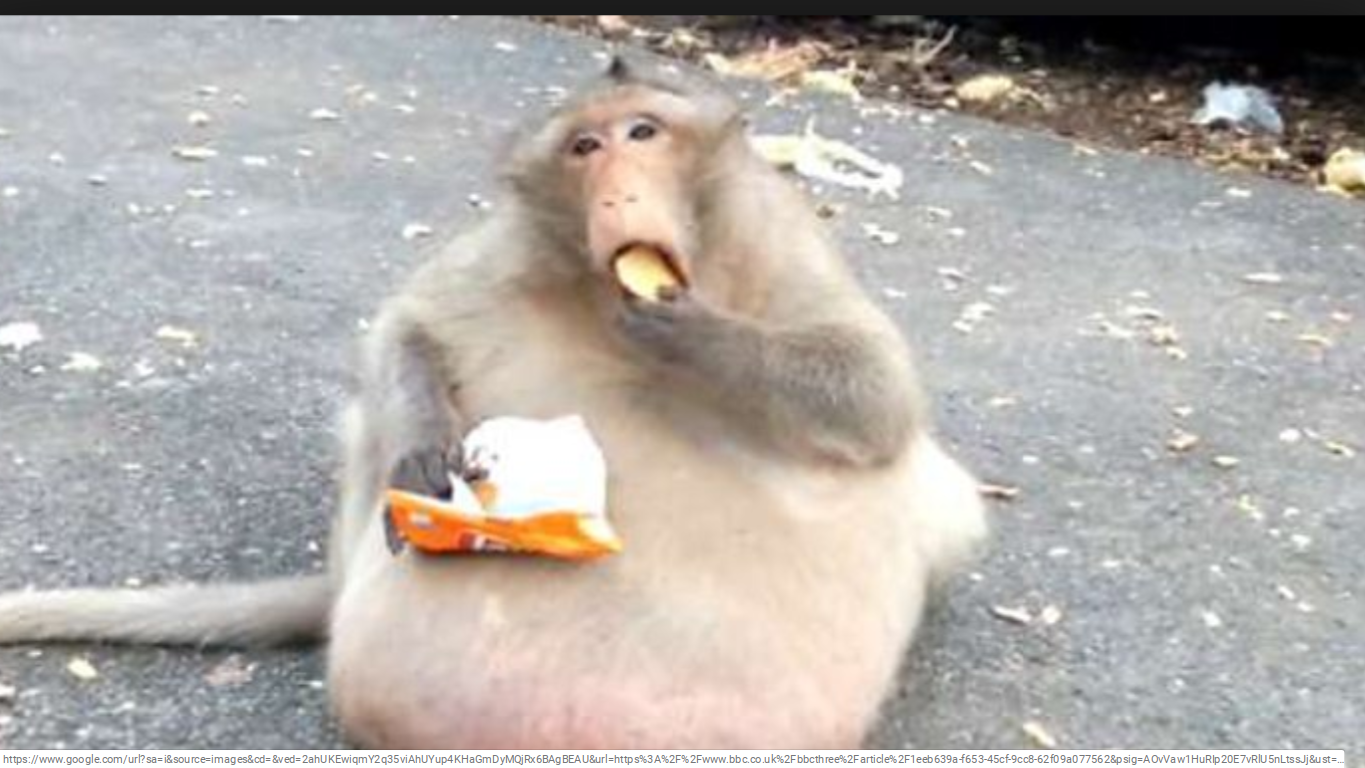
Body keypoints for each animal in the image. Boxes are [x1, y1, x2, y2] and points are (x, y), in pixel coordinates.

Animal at [0, 58, 987, 749]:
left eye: (643, 131)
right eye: (585, 148)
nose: (619, 186)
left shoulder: (777, 236)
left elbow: (875, 396)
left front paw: (687, 332)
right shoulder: (508, 247)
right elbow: (403, 328)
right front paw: (424, 447)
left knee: (937, 487)